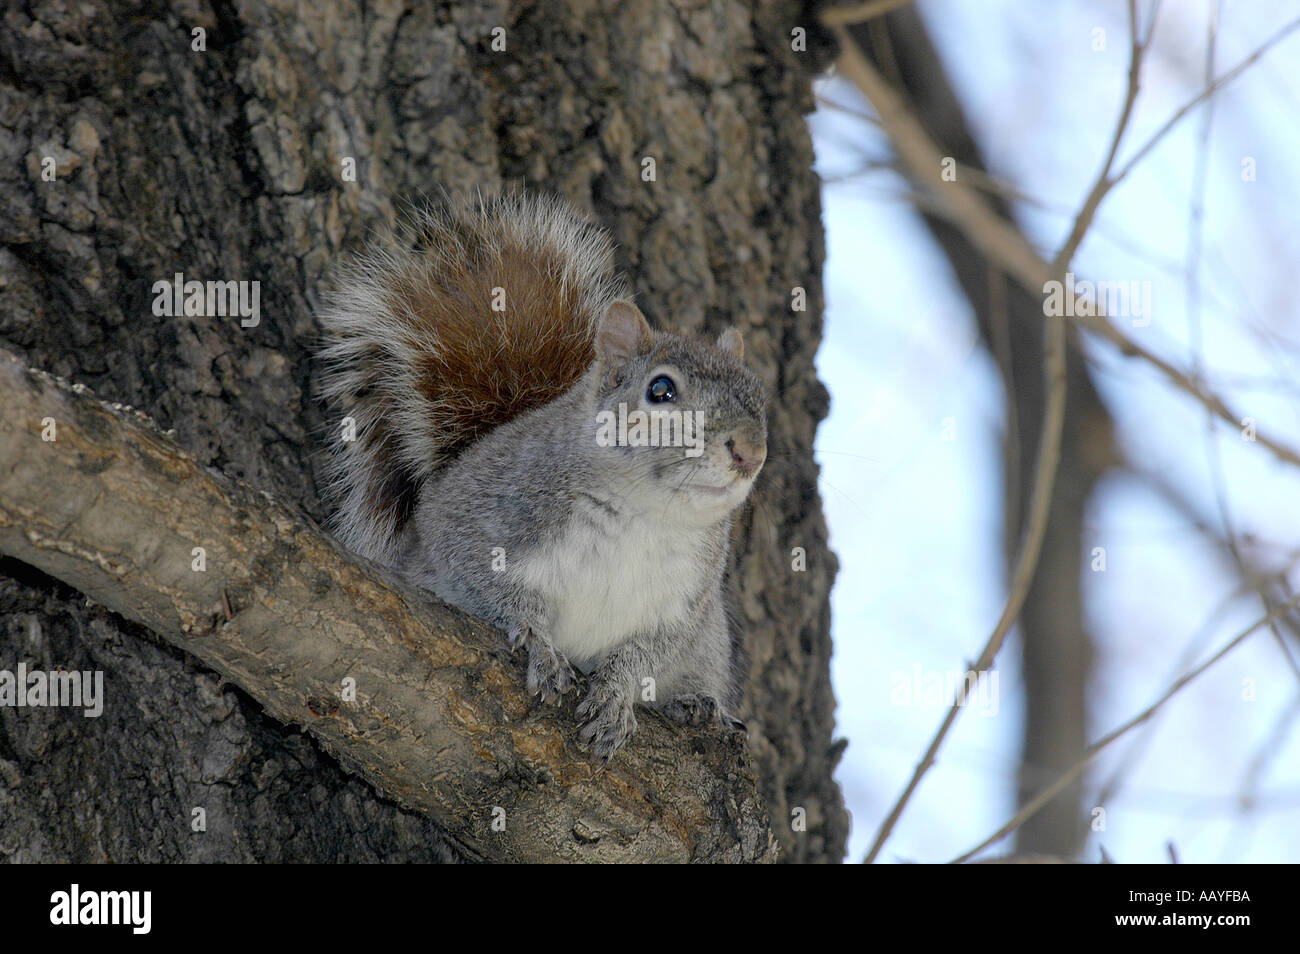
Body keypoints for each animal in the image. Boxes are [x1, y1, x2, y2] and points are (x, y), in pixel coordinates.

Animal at [317, 192, 767, 761]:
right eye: (660, 390)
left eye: (758, 395)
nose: (750, 451)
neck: (645, 512)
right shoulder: (478, 517)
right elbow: (485, 579)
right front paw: (539, 643)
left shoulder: (687, 599)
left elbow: (649, 650)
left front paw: (616, 693)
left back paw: (697, 704)